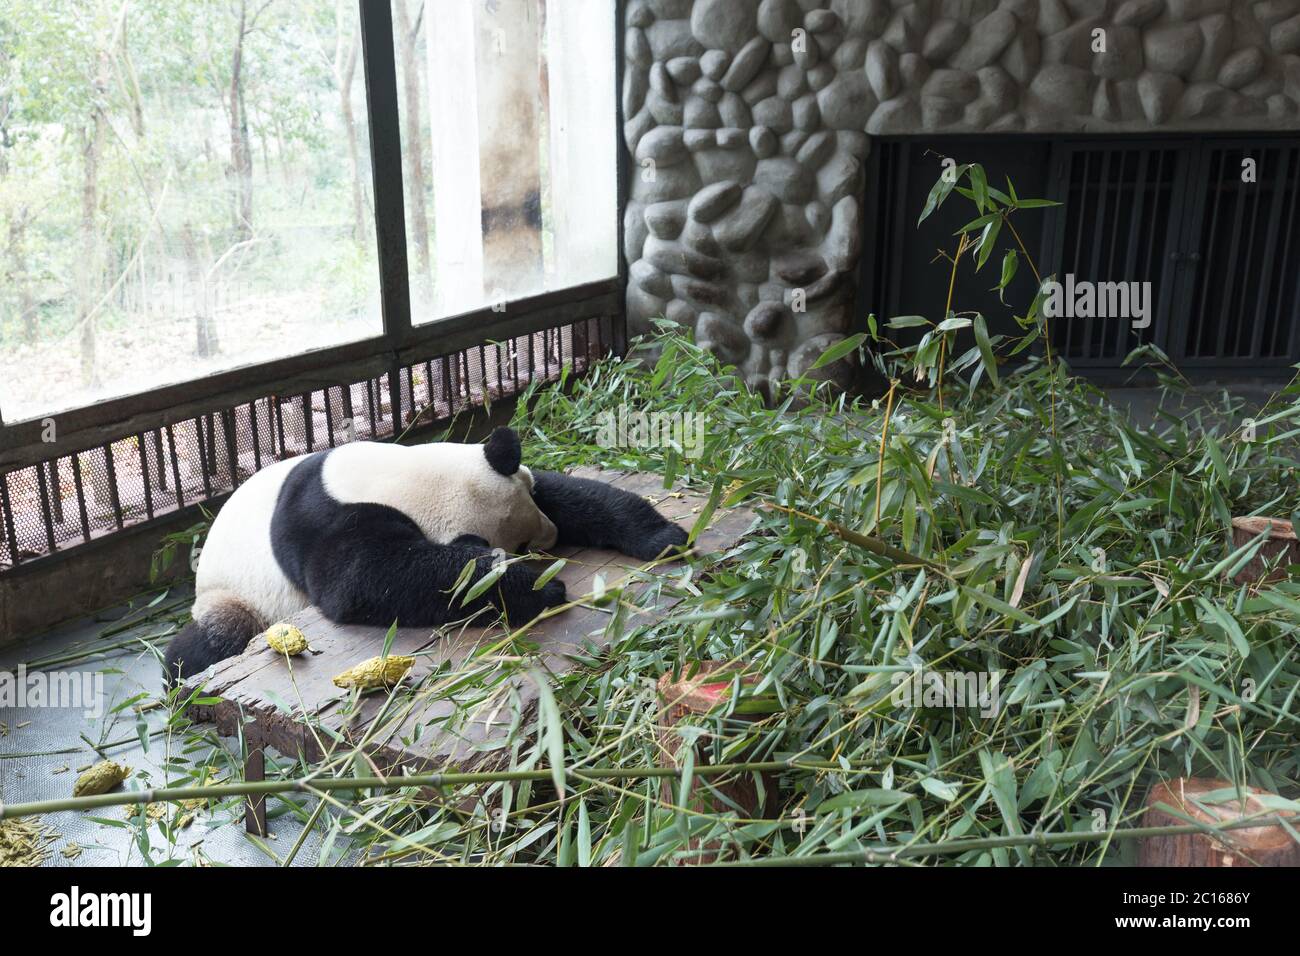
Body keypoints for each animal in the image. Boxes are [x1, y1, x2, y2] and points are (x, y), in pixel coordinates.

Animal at [162, 427, 689, 683]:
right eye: (520, 547)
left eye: (535, 510)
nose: (551, 539)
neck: (400, 479)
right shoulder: (326, 522)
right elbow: (364, 577)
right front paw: (538, 586)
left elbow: (573, 492)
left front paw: (661, 533)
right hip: (234, 595)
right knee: (212, 640)